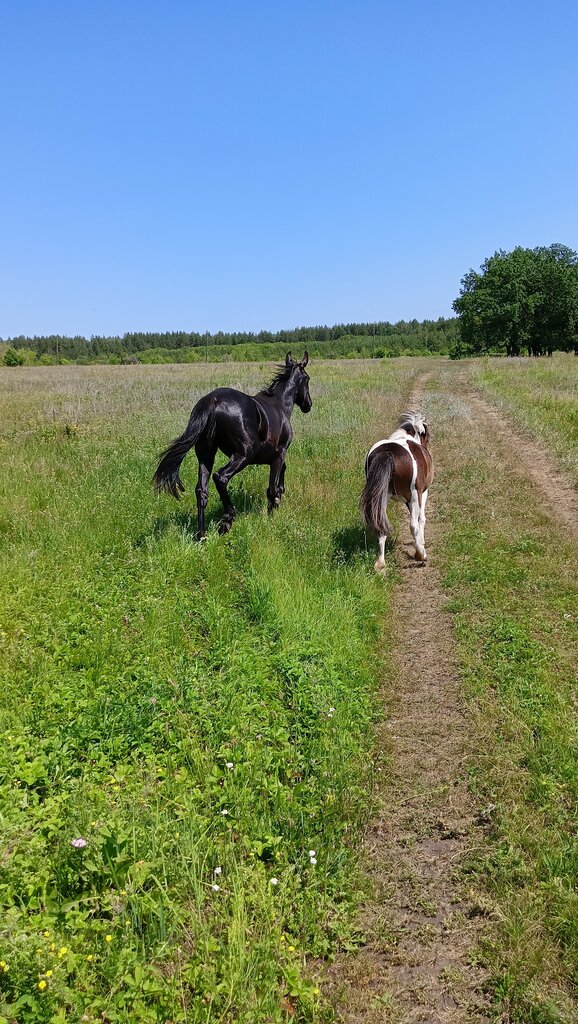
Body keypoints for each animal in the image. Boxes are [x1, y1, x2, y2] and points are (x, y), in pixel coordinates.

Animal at [153, 352, 312, 539]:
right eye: (307, 378)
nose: (308, 405)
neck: (280, 405)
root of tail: (213, 400)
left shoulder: (270, 457)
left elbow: (282, 474)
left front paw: (280, 495)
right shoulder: (279, 453)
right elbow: (272, 488)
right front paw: (272, 515)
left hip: (206, 455)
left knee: (201, 491)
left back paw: (202, 535)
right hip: (243, 456)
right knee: (220, 477)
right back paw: (227, 519)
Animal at [361, 411, 433, 571]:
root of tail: (389, 453)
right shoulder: (422, 493)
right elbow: (421, 519)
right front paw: (421, 544)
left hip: (381, 497)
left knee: (380, 524)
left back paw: (380, 563)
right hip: (414, 495)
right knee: (413, 525)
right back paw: (420, 555)